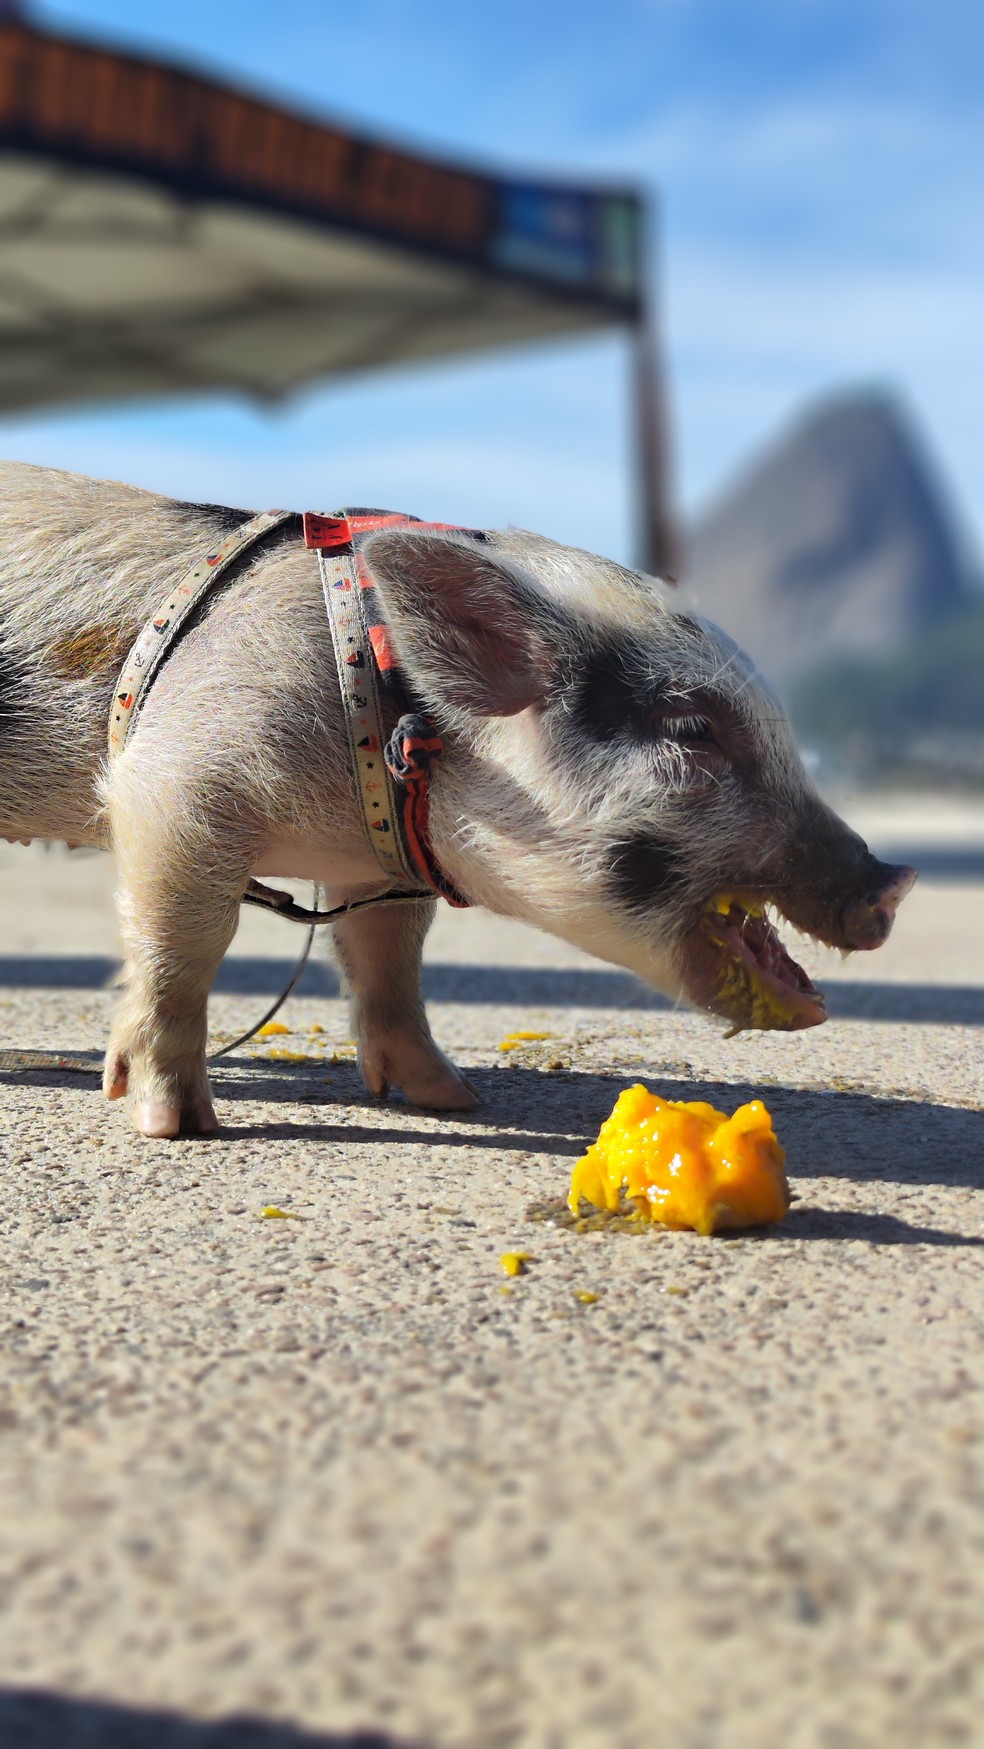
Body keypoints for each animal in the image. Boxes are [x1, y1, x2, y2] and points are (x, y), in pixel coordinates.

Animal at [0, 461, 914, 1137]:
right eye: (692, 727)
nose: (892, 880)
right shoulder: (177, 782)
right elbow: (181, 949)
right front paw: (175, 1124)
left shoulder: (377, 863)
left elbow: (388, 964)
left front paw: (455, 1098)